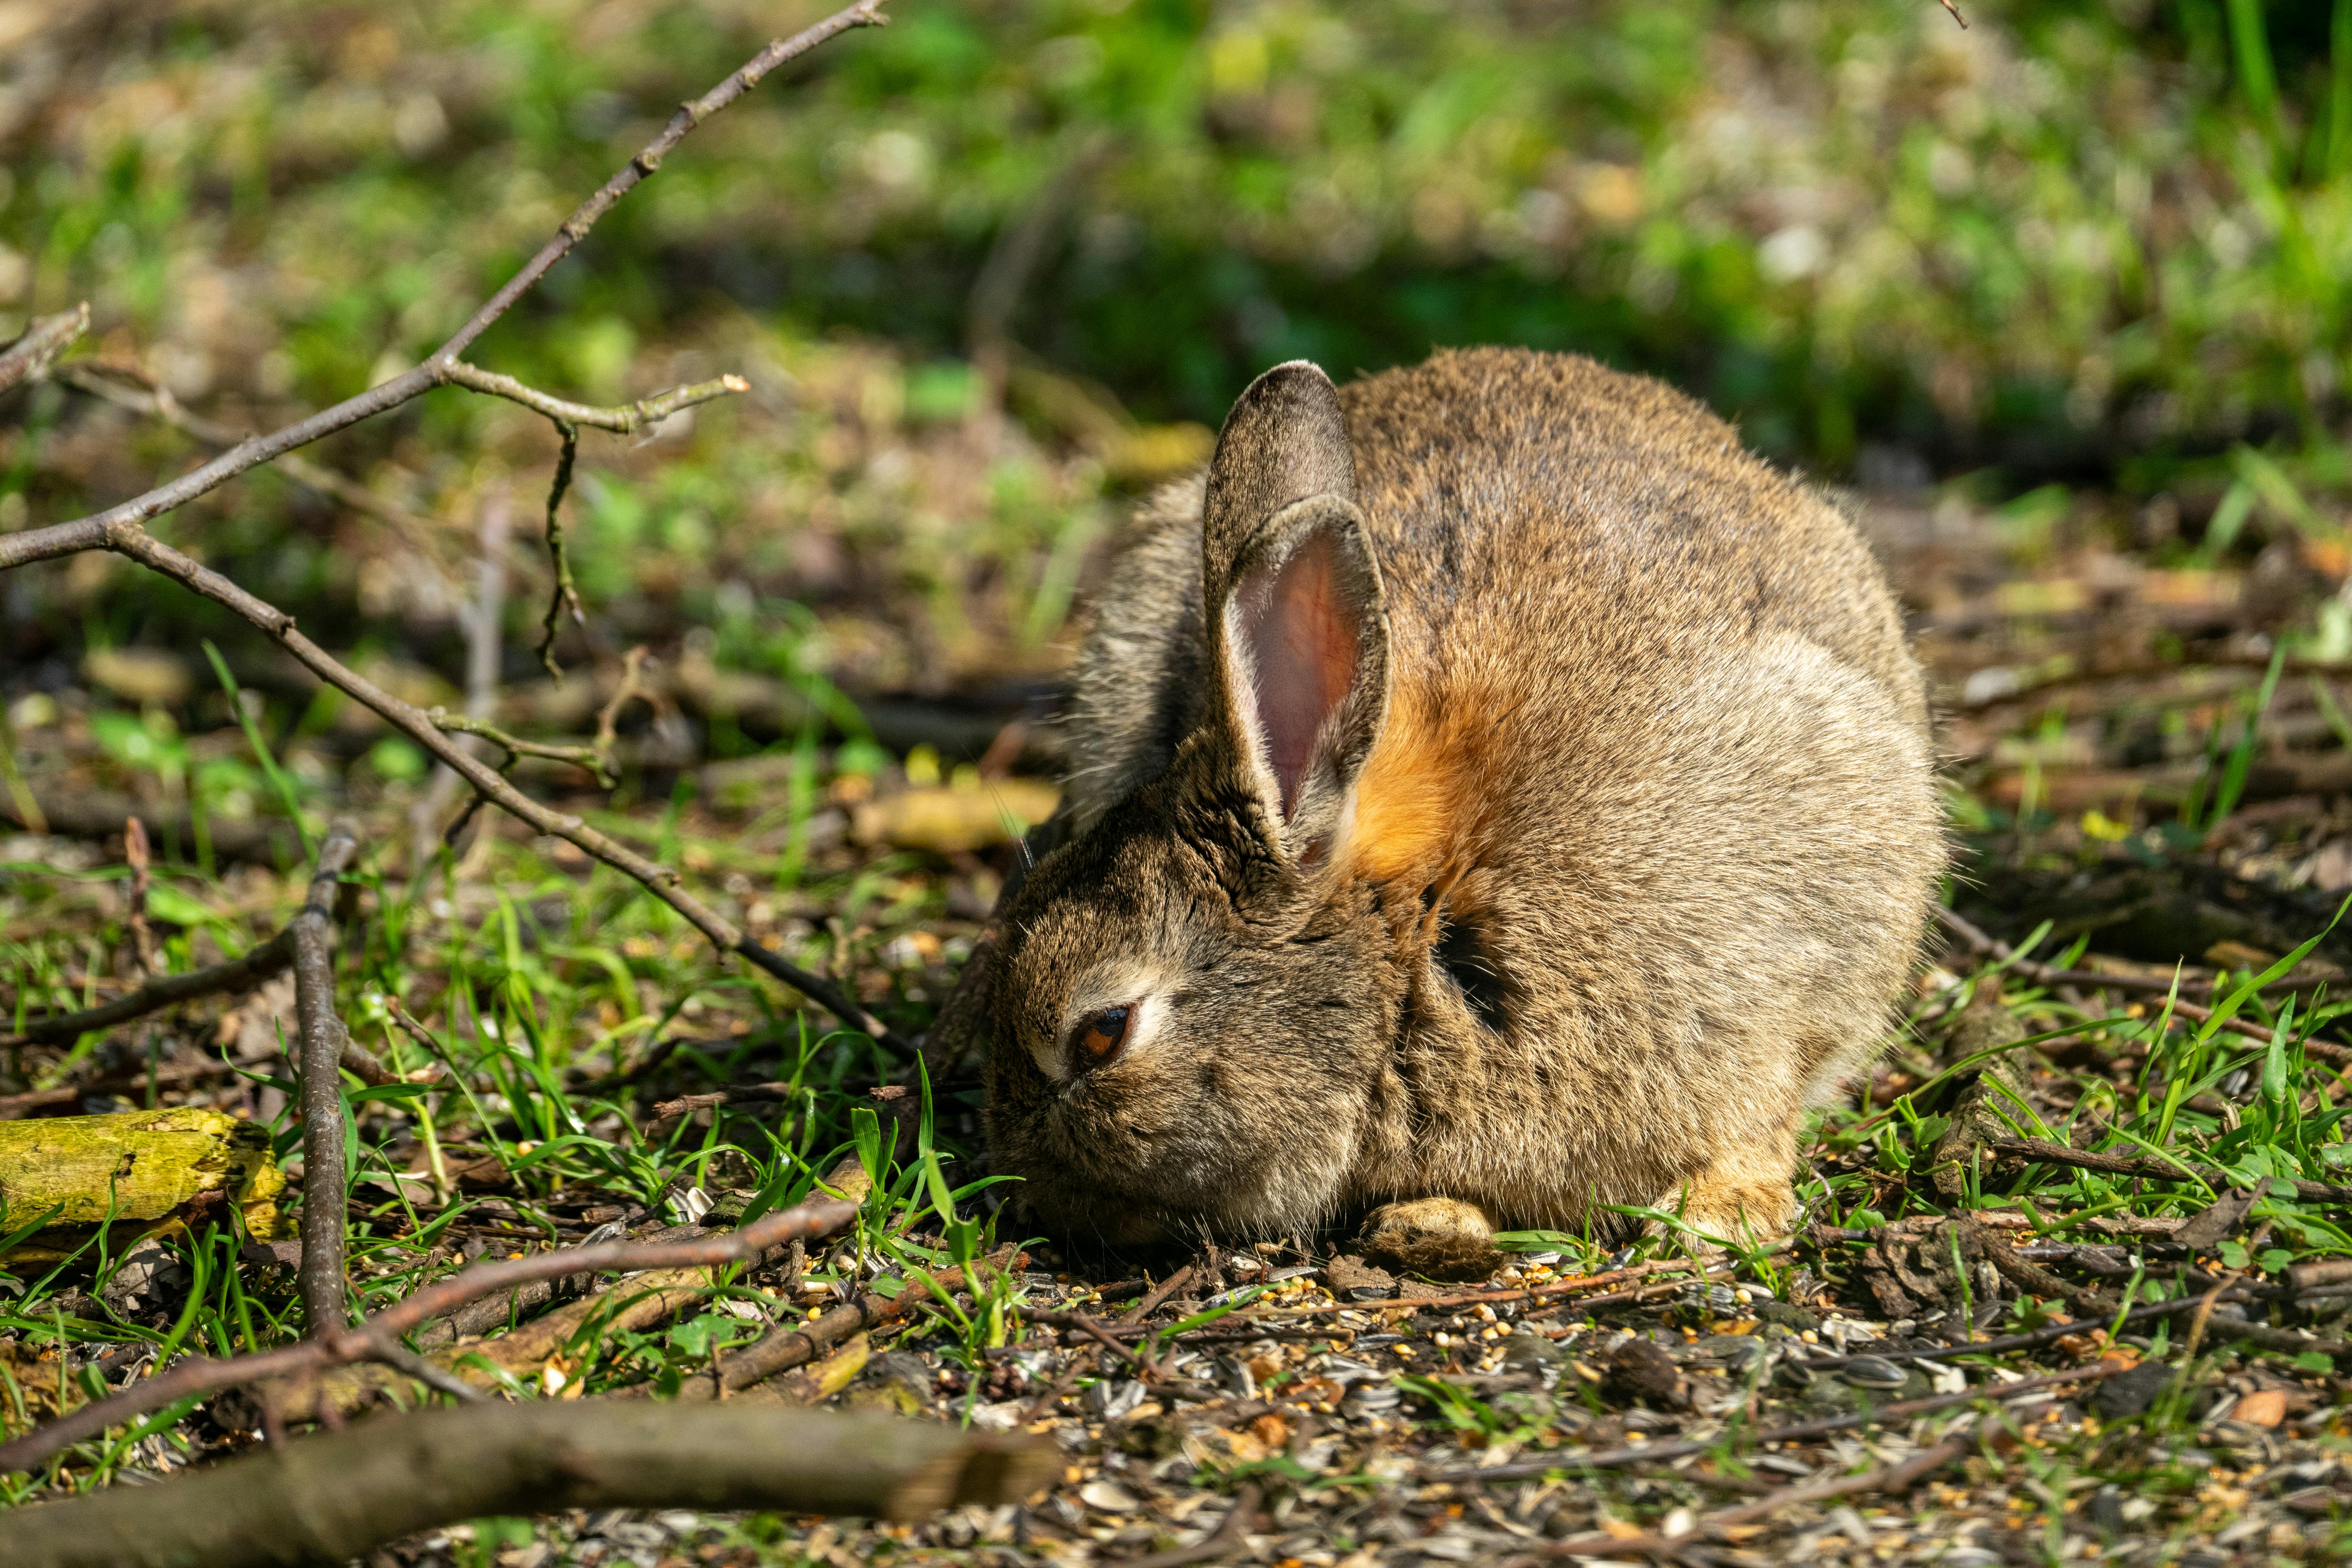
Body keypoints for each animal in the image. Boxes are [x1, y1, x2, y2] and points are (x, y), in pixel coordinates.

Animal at [979, 346, 1942, 1274]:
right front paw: (1432, 1217)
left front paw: (1720, 1213)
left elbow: (1763, 1109)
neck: (1424, 920)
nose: (1027, 1194)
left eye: (1102, 1033)